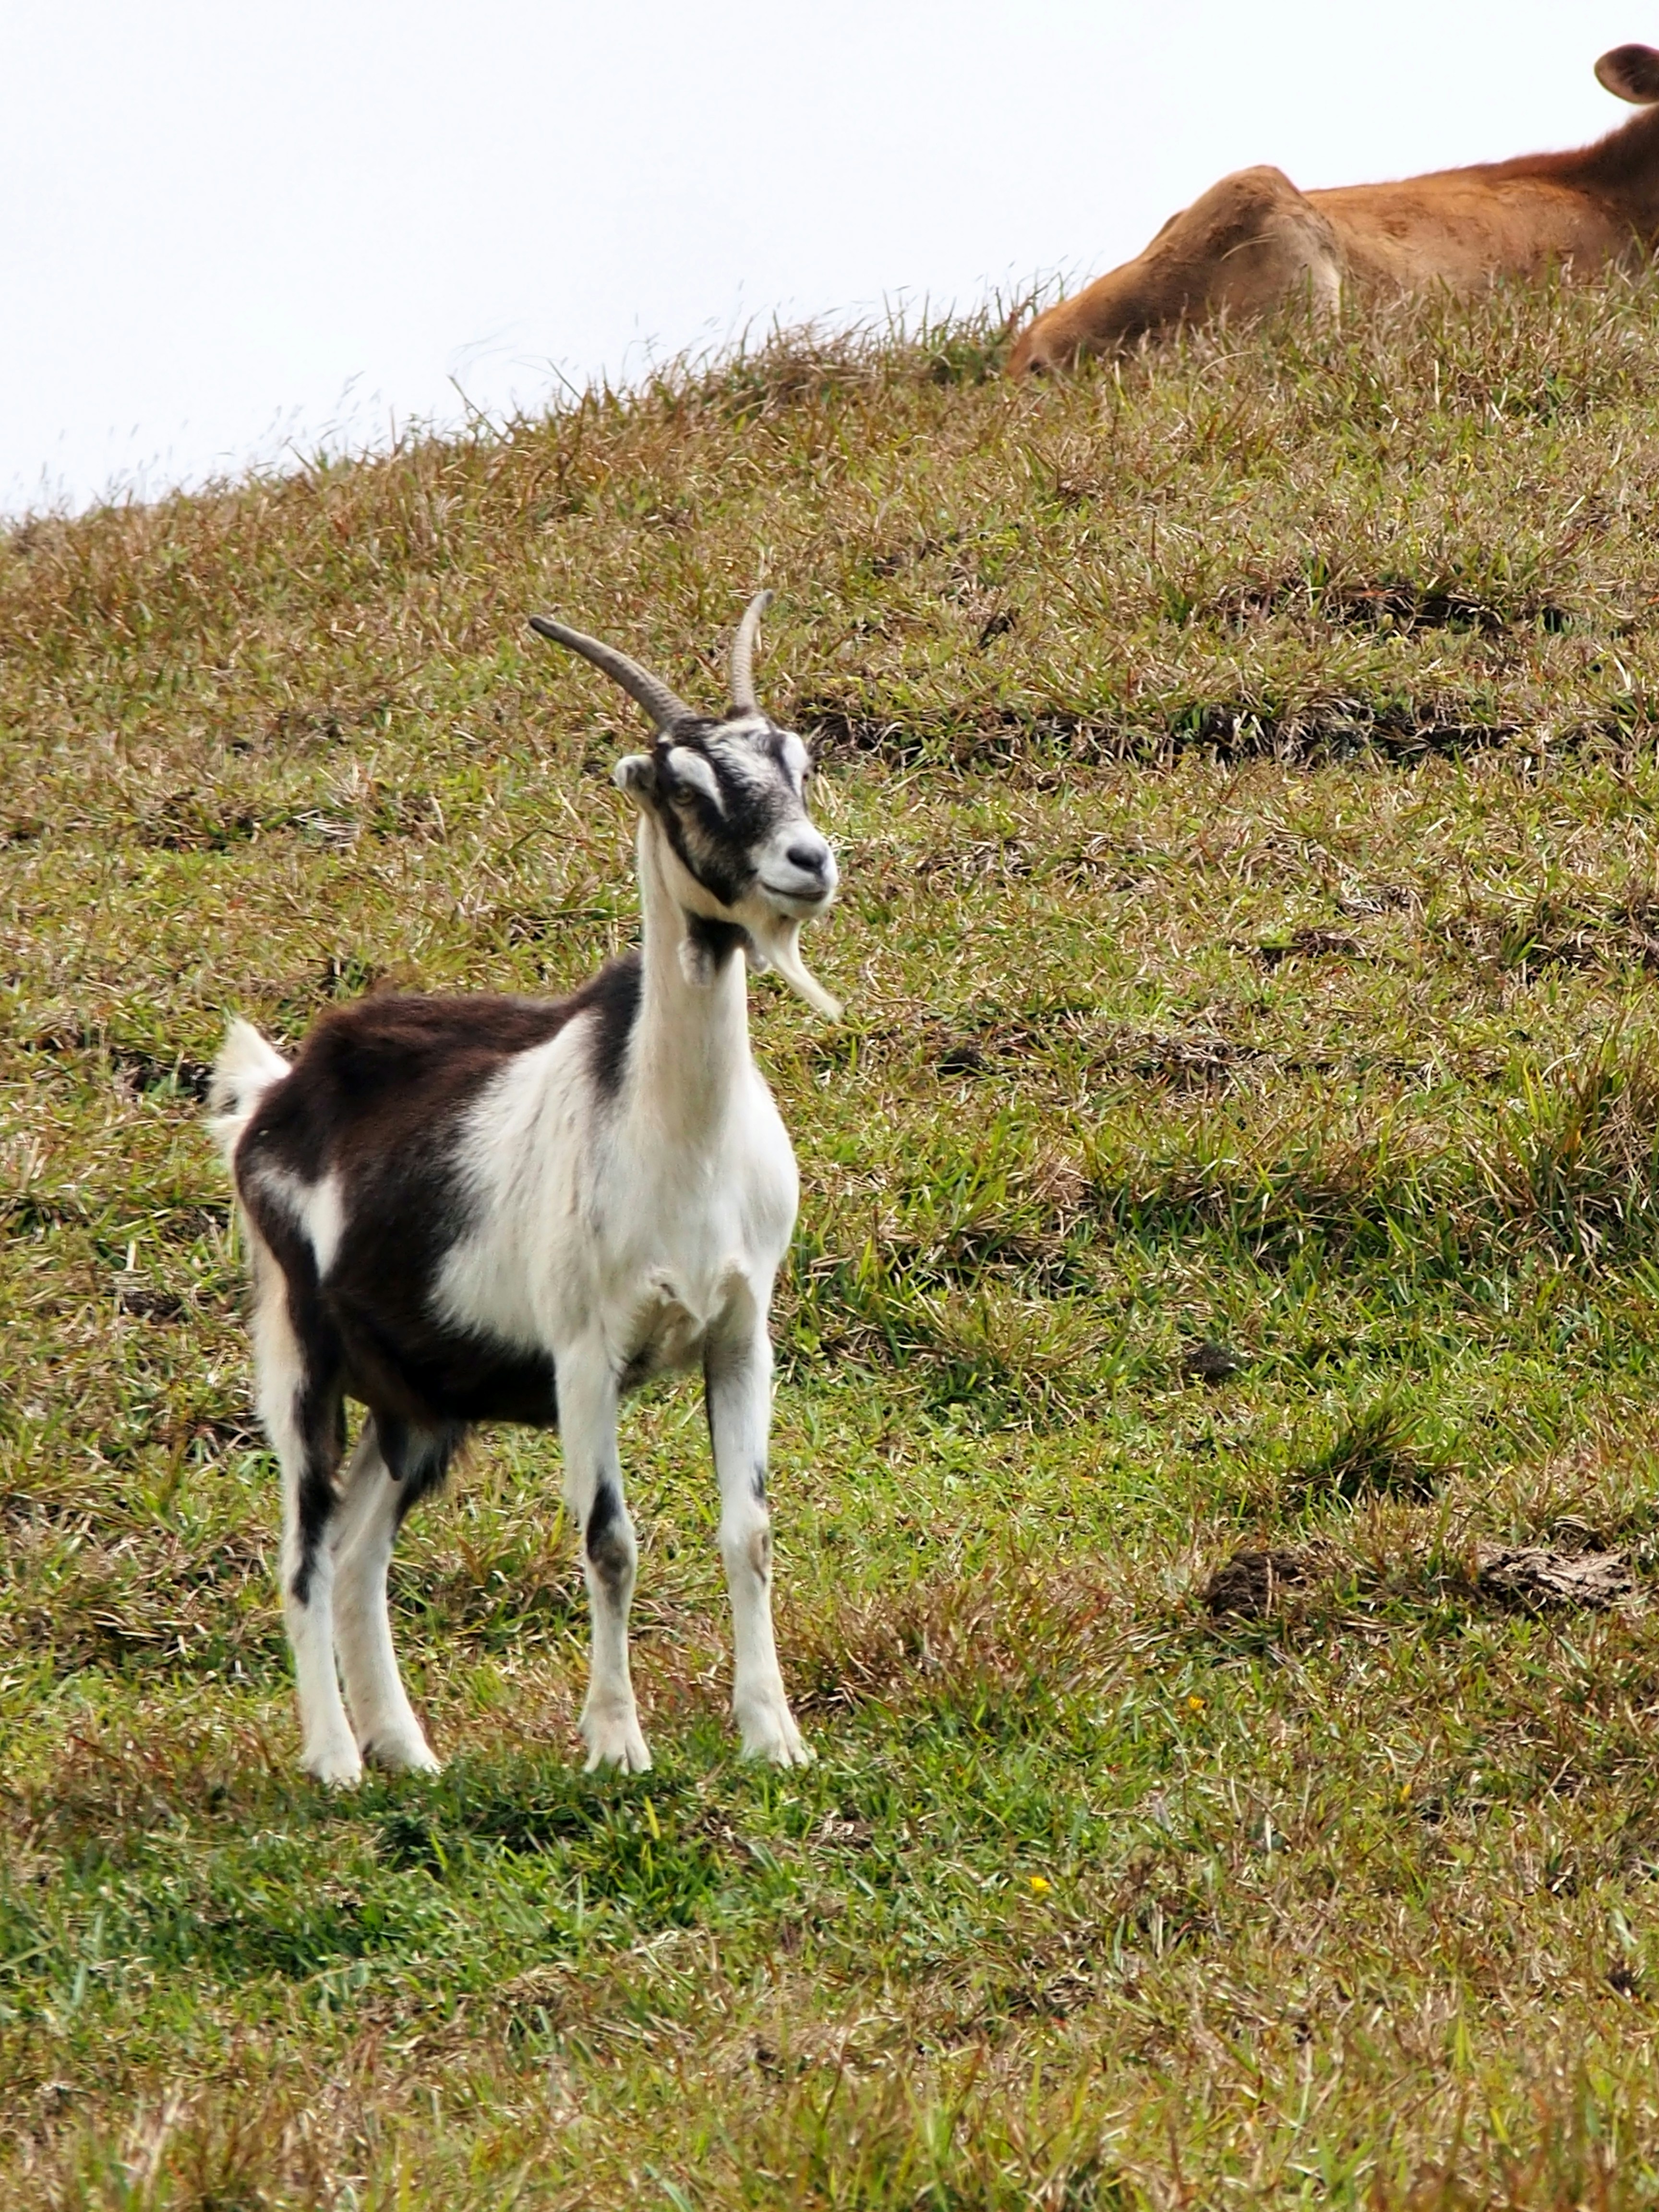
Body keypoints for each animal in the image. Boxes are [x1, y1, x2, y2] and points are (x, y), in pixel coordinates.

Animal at [209, 593, 839, 1785]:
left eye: (796, 760)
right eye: (686, 785)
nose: (808, 861)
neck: (677, 1140)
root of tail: (277, 1092)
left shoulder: (742, 1333)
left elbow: (753, 1532)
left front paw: (774, 1737)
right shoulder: (583, 1349)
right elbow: (611, 1539)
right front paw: (616, 1744)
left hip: (420, 1402)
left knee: (358, 1550)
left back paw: (409, 1753)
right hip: (298, 1353)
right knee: (304, 1547)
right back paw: (335, 1762)